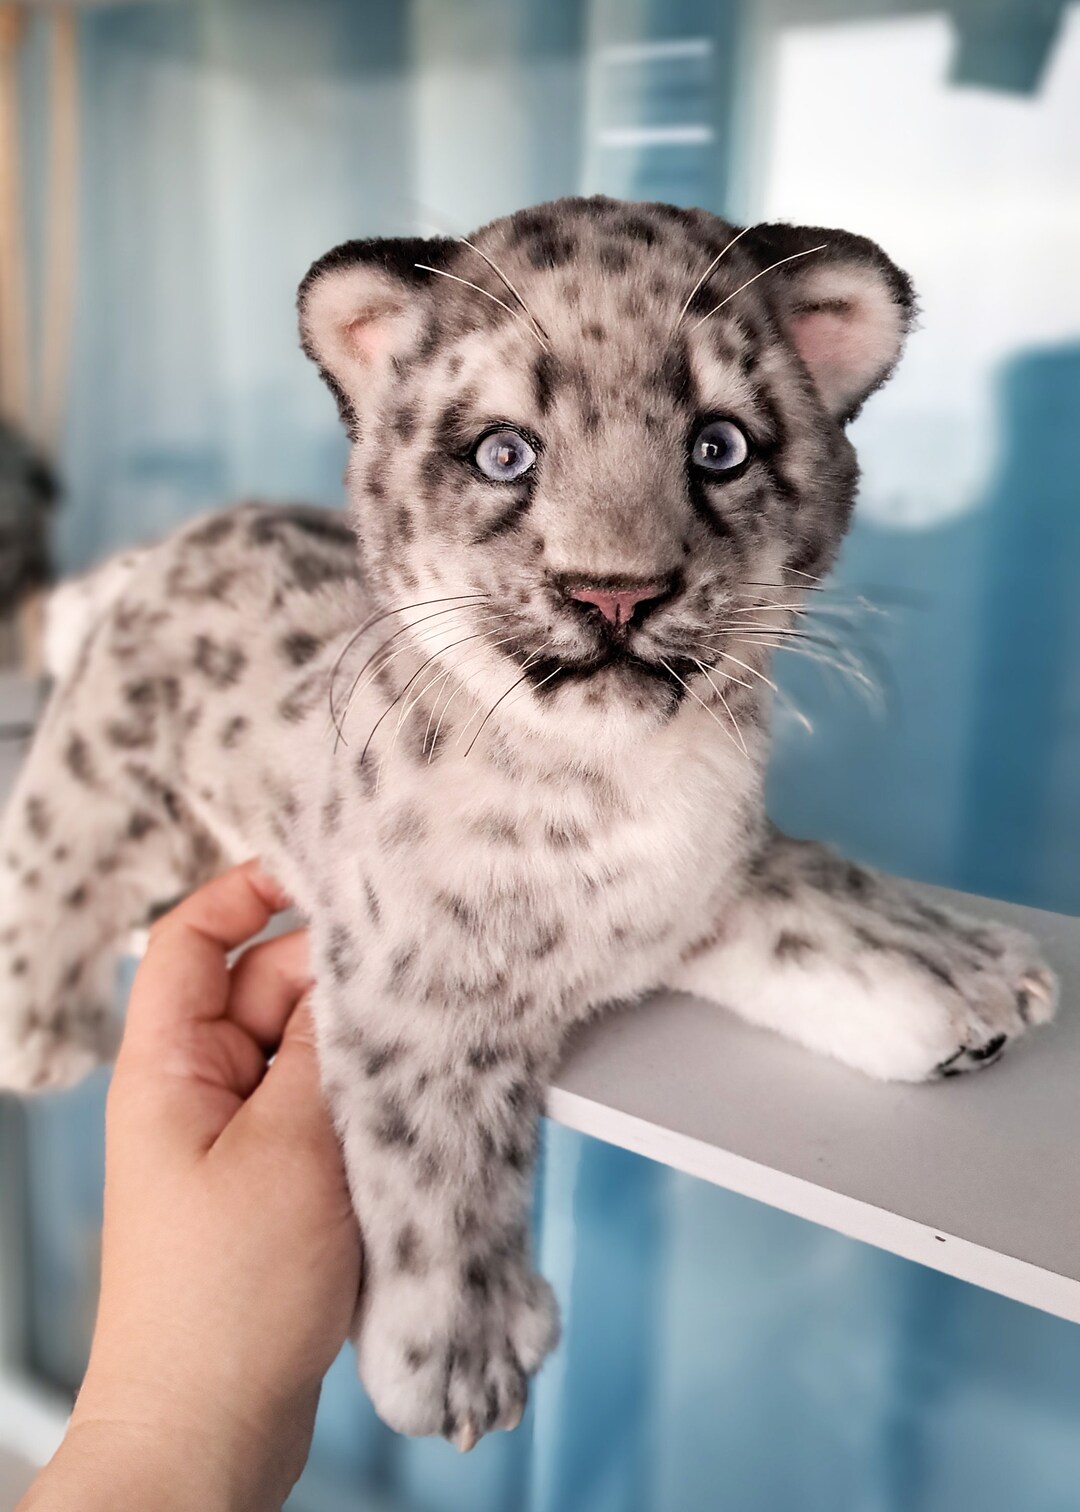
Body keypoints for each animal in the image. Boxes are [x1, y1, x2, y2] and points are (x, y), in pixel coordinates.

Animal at [0, 197, 1056, 1450]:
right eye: (502, 451)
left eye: (721, 445)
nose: (615, 593)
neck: (628, 789)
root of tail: (186, 536)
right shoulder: (418, 989)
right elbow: (438, 1147)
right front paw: (464, 1353)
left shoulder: (714, 878)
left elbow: (817, 895)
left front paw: (967, 979)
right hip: (104, 755)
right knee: (51, 835)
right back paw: (34, 1025)